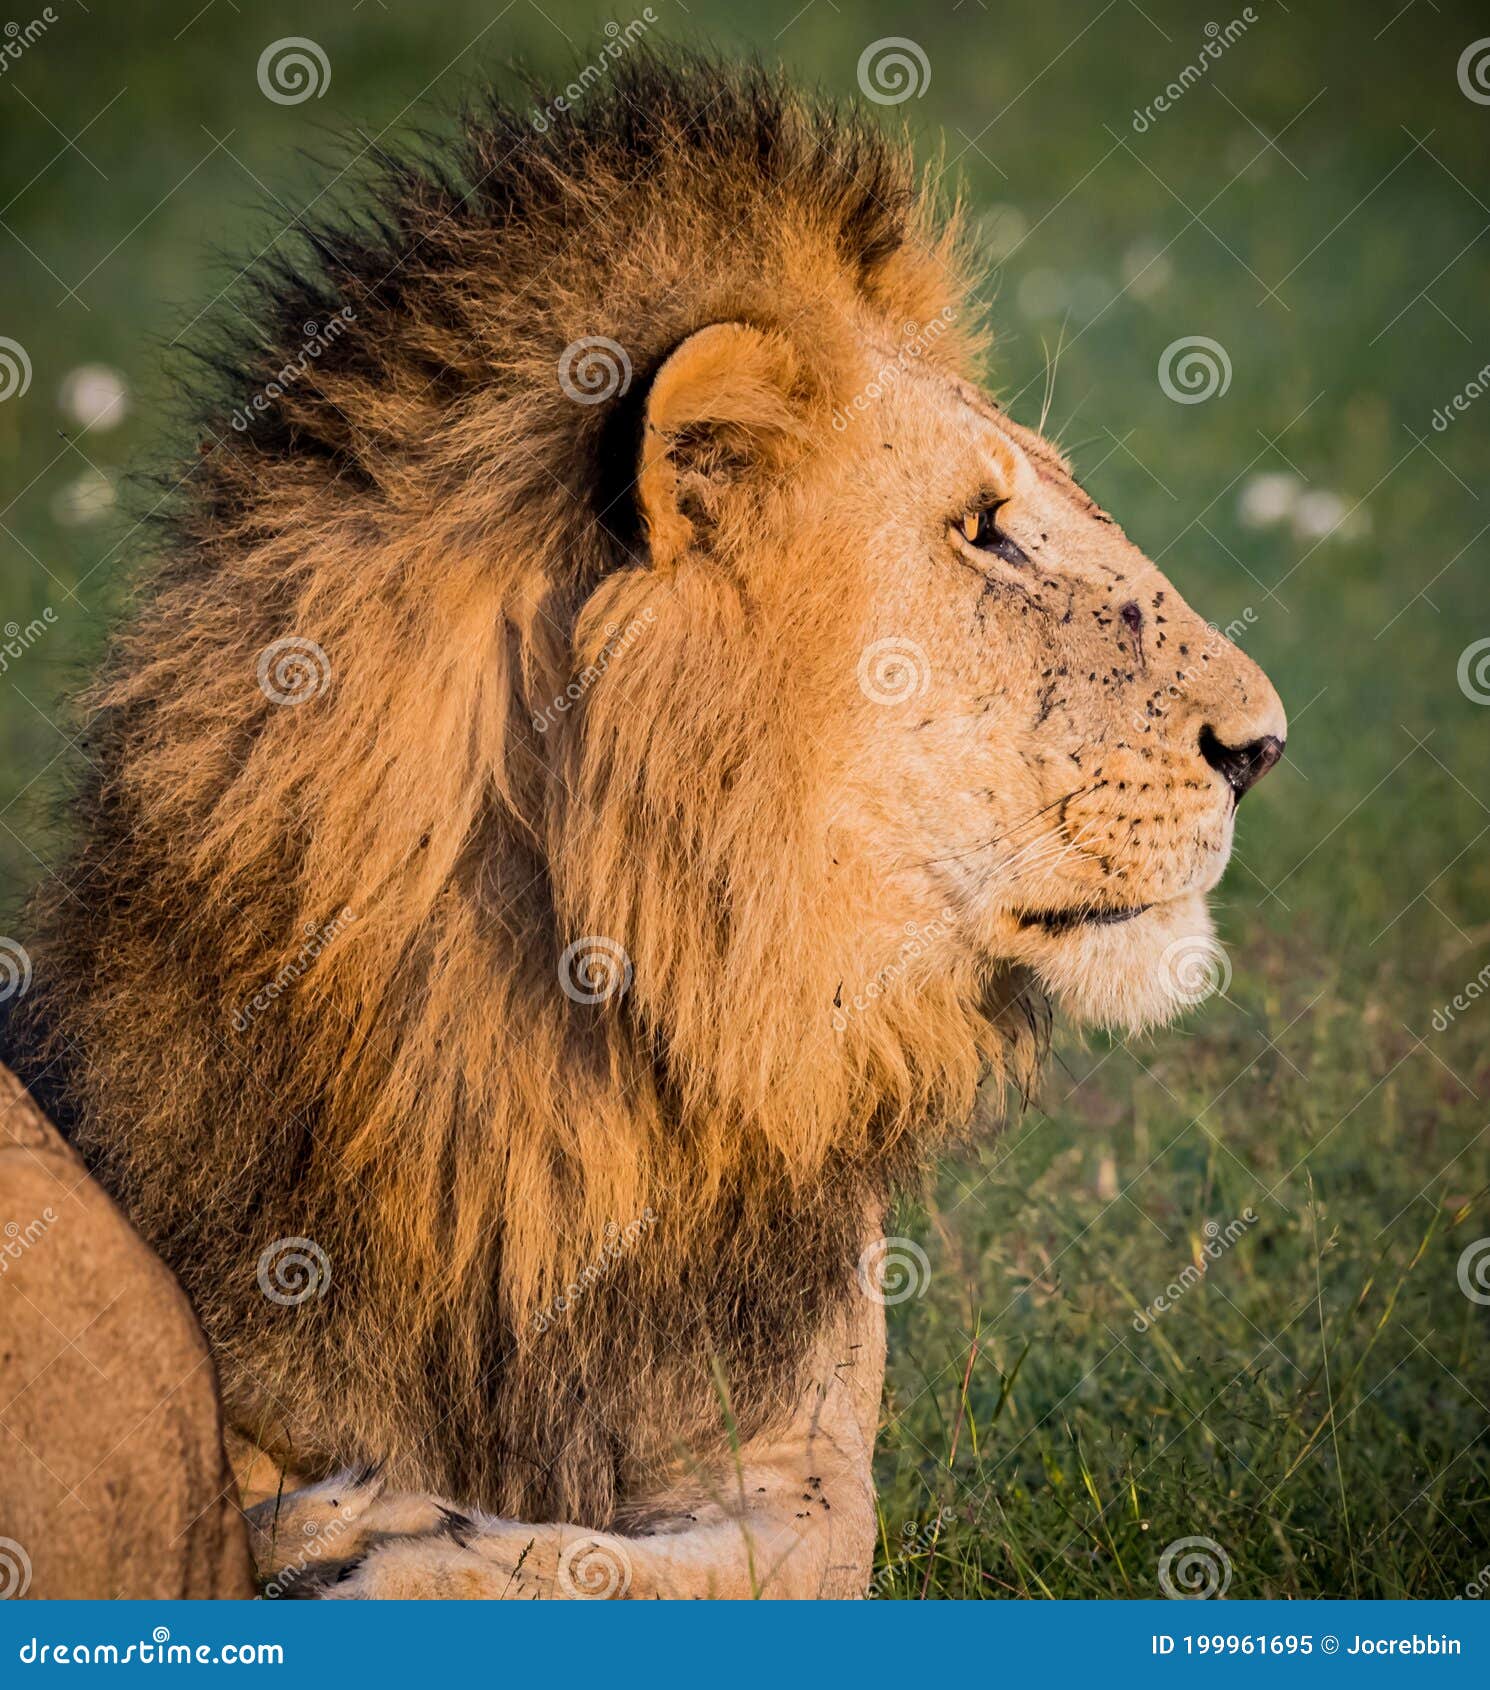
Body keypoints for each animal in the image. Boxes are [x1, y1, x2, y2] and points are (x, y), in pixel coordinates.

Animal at [1, 54, 1285, 1599]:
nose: (1264, 746)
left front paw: (383, 1546)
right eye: (981, 529)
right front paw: (338, 1525)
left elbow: (690, 1563)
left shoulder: (799, 1443)